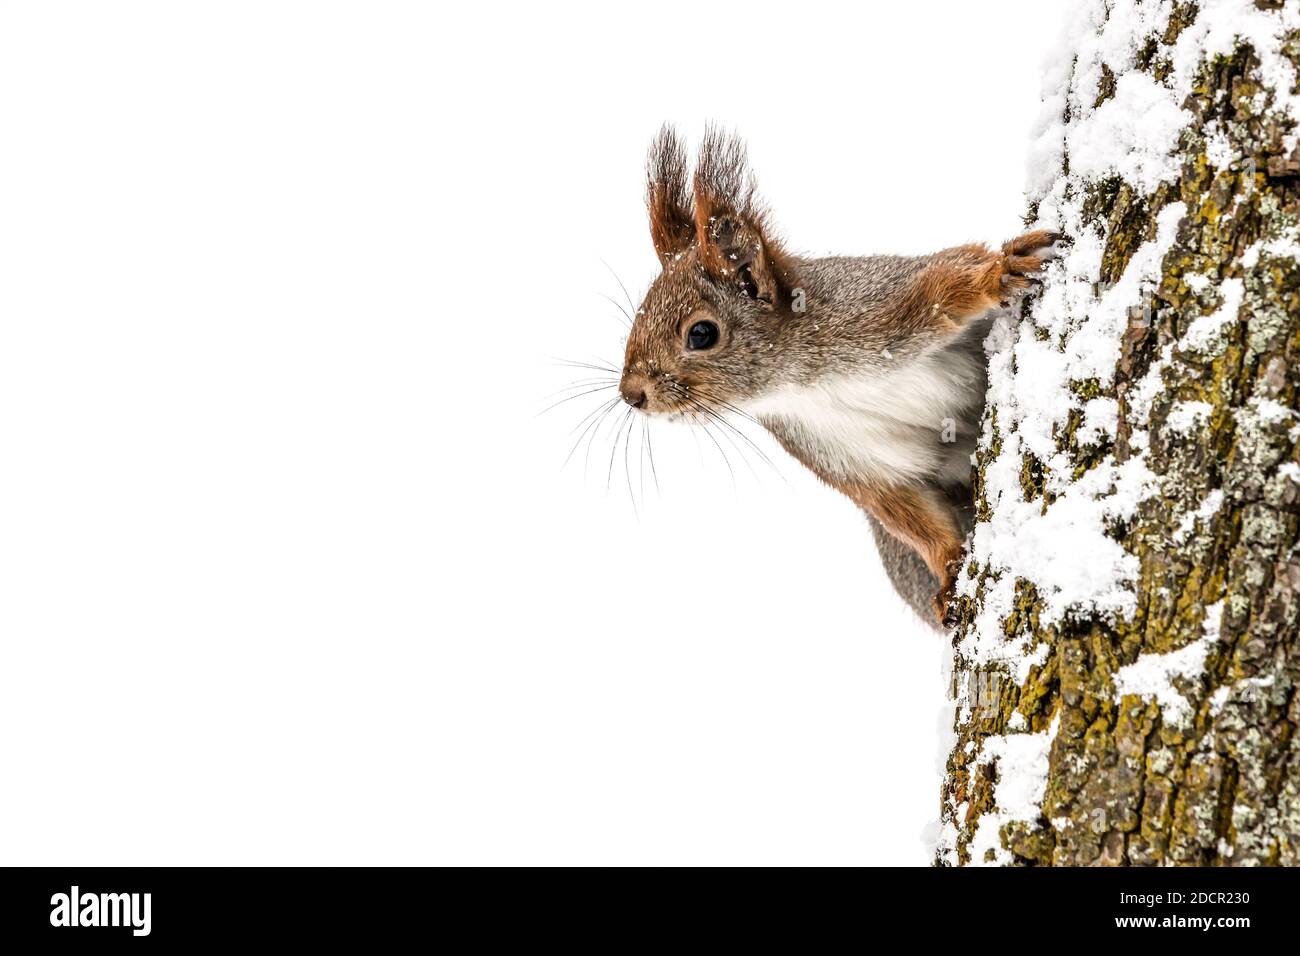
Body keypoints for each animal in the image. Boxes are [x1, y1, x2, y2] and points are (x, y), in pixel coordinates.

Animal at [616, 126, 1059, 629]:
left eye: (702, 333)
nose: (631, 394)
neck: (801, 384)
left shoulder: (876, 306)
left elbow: (947, 279)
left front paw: (998, 271)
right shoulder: (843, 456)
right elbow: (907, 514)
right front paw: (949, 570)